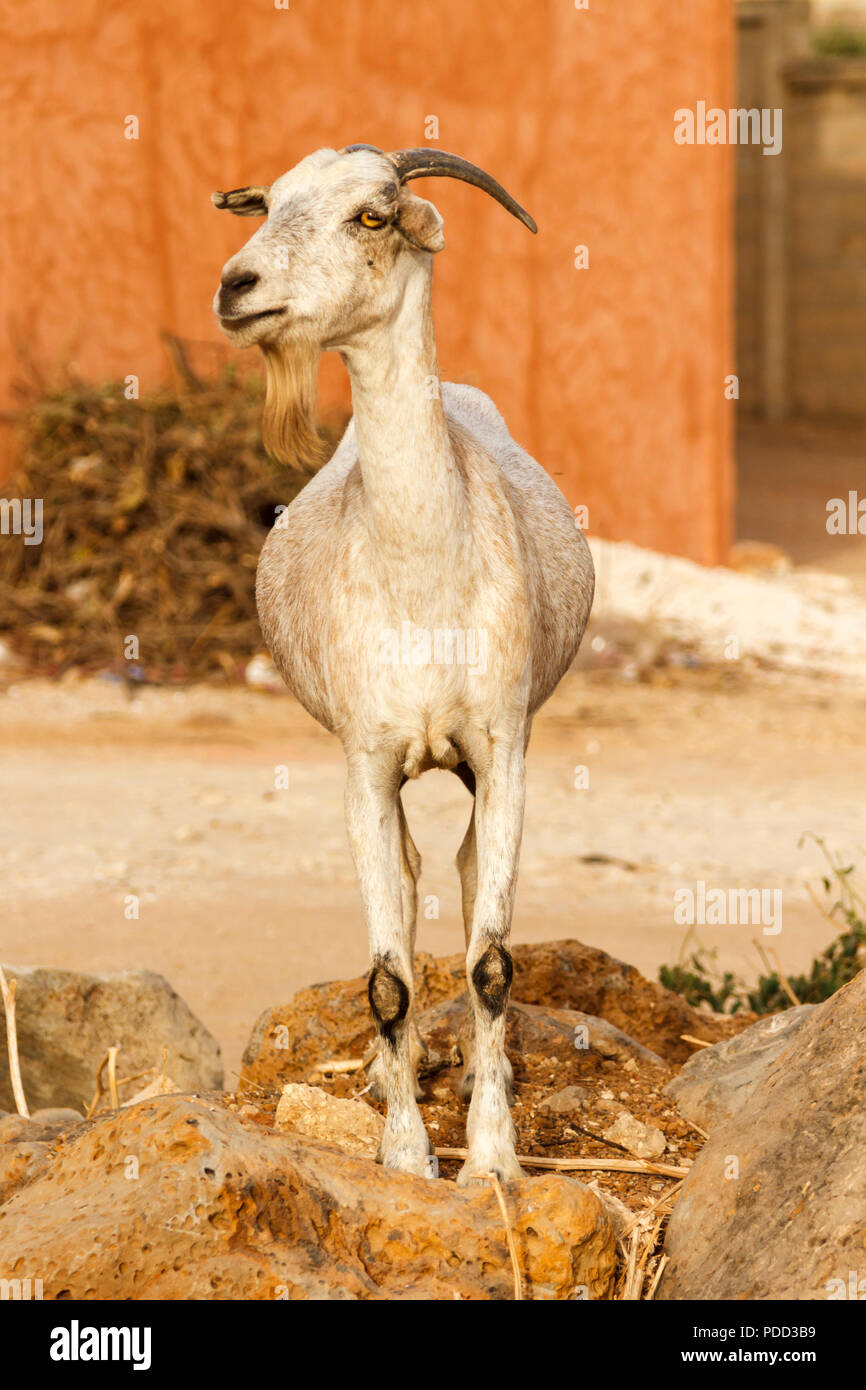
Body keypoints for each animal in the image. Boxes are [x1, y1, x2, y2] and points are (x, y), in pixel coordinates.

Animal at [213, 144, 594, 1184]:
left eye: (373, 216)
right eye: (271, 203)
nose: (236, 286)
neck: (424, 582)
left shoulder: (504, 745)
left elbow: (494, 959)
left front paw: (493, 1160)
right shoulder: (366, 761)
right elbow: (384, 978)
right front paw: (407, 1157)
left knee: (460, 878)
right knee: (422, 874)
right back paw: (402, 1075)